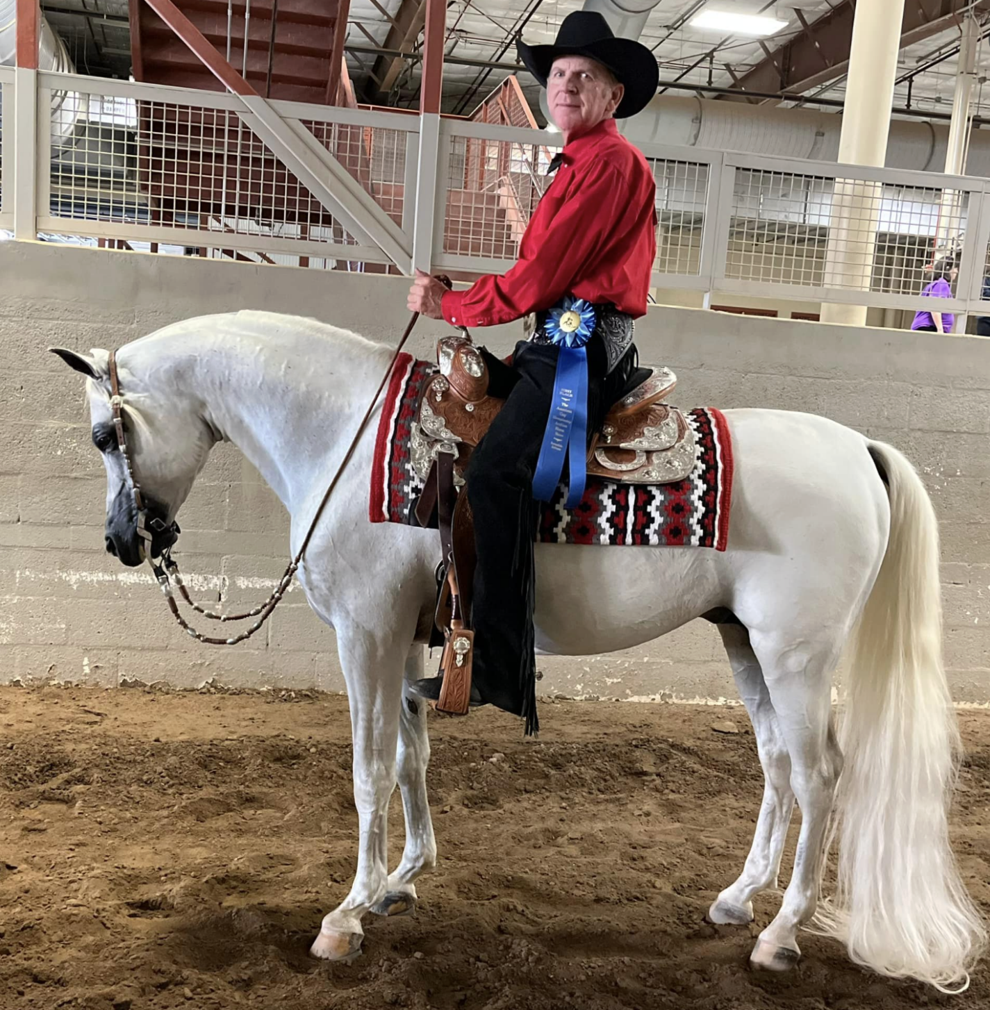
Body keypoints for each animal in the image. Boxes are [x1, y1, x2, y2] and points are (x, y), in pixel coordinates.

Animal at [51, 309, 985, 991]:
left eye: (102, 437)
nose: (123, 542)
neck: (341, 431)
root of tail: (858, 449)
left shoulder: (366, 632)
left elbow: (367, 769)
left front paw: (347, 913)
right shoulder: (408, 641)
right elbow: (411, 760)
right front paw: (401, 882)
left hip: (796, 657)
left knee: (821, 775)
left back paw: (783, 933)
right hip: (745, 646)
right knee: (778, 767)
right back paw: (738, 899)